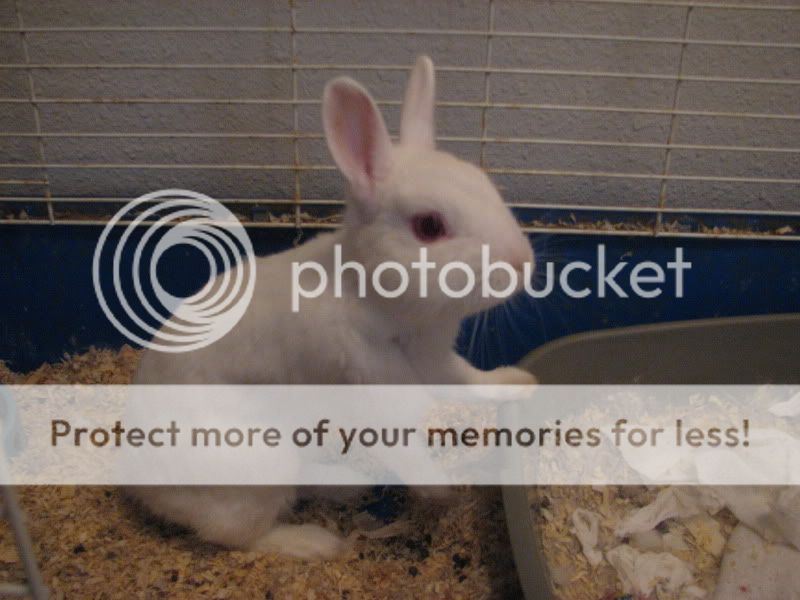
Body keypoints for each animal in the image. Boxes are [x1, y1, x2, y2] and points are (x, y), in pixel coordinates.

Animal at [128, 55, 536, 559]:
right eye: (429, 225)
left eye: (486, 184)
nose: (523, 263)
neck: (378, 298)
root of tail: (141, 485)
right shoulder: (378, 400)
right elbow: (412, 457)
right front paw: (446, 494)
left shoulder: (438, 364)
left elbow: (474, 383)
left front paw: (521, 383)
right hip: (258, 468)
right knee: (236, 535)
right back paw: (314, 543)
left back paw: (346, 484)